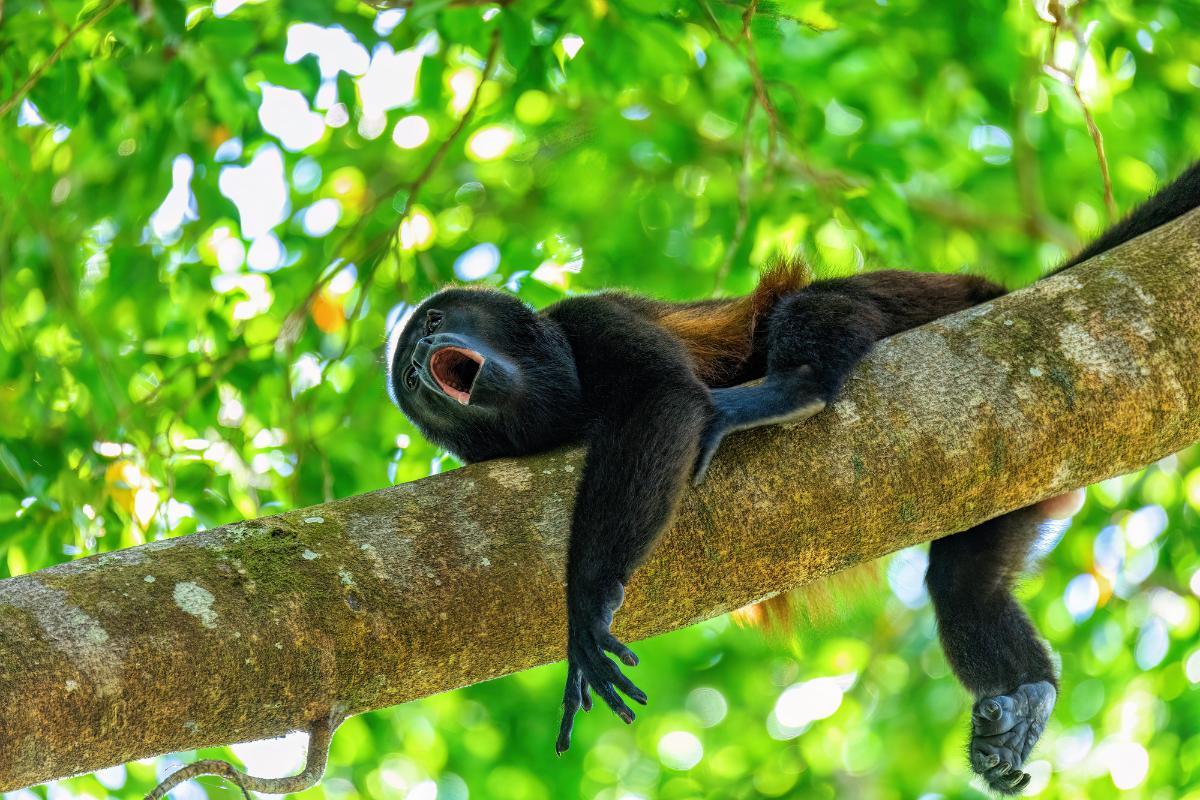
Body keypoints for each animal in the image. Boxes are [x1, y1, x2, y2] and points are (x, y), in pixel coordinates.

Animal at [386, 161, 1200, 794]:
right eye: (410, 370)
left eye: (435, 320)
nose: (419, 350)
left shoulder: (587, 318)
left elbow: (660, 397)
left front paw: (587, 603)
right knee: (963, 586)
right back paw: (1026, 695)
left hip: (940, 299)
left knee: (817, 303)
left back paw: (789, 387)